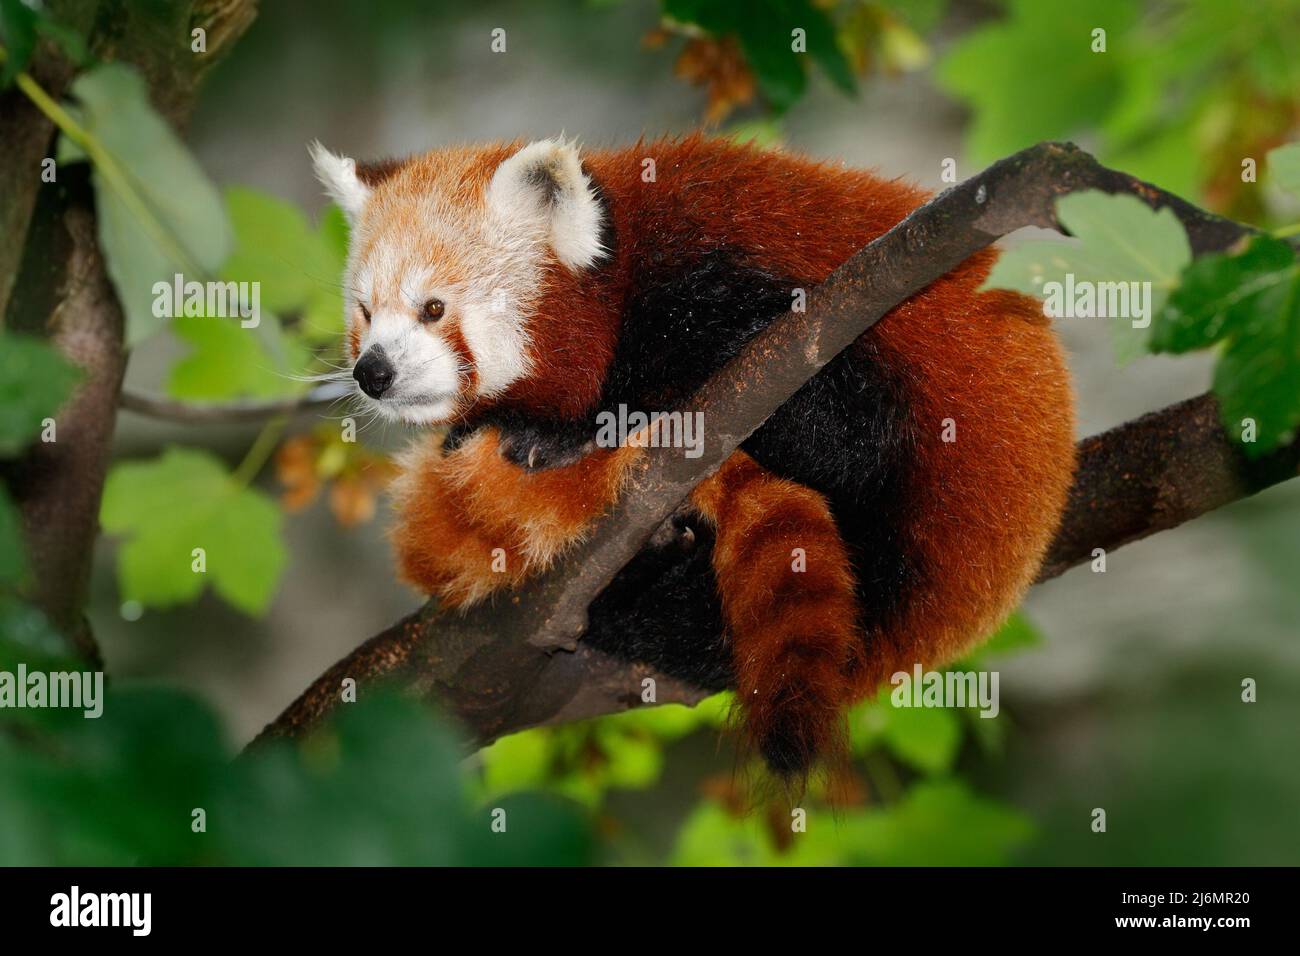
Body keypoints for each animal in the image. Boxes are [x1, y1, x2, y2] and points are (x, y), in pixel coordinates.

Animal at [310, 134, 1076, 776]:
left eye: (434, 309)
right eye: (366, 313)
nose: (373, 372)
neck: (627, 271)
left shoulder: (778, 298)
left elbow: (832, 427)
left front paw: (577, 428)